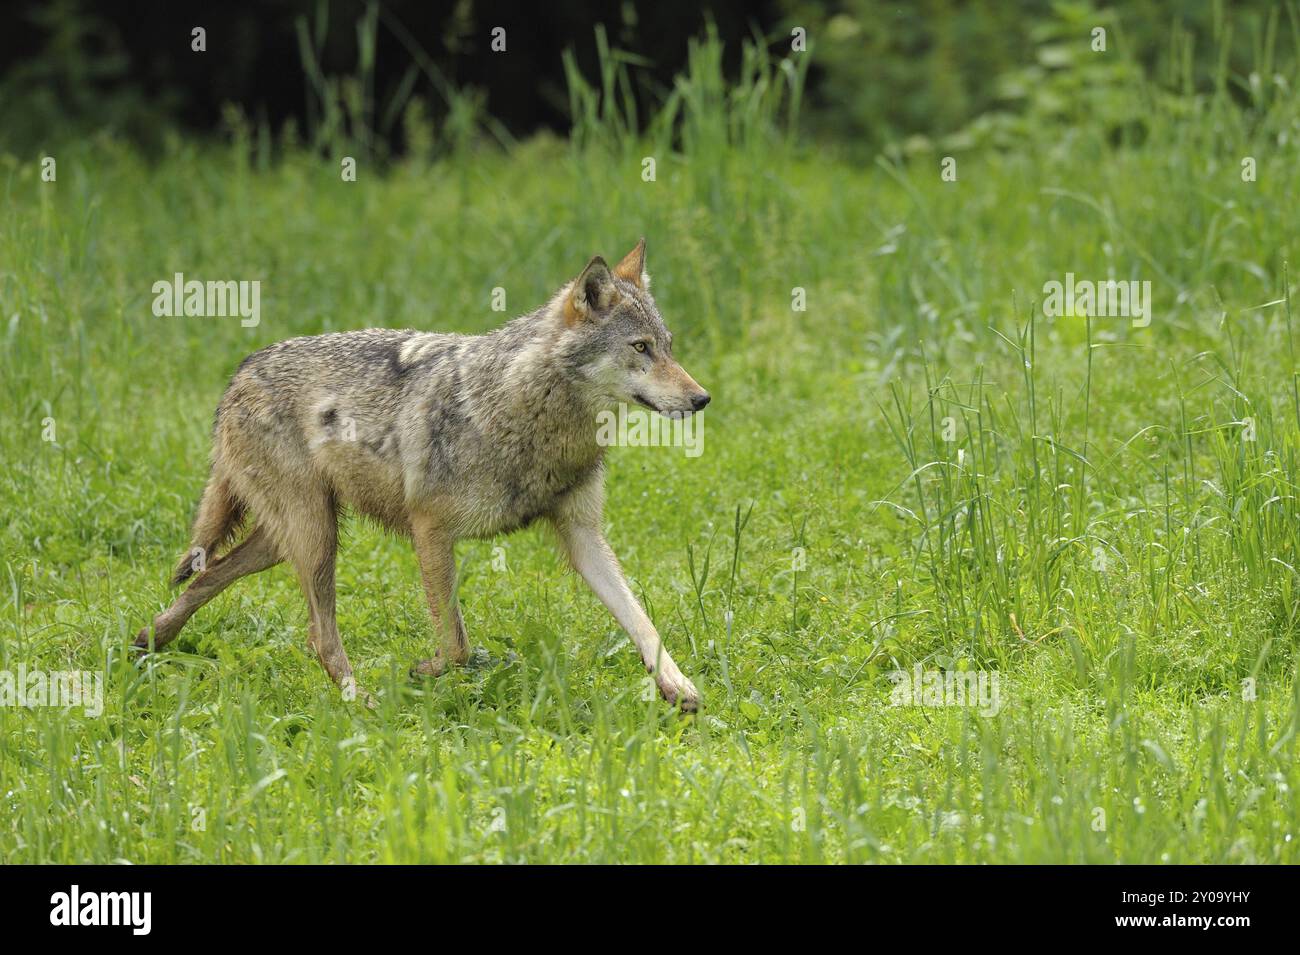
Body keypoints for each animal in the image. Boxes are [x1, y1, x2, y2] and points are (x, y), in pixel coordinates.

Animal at [135, 239, 708, 710]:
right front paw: (422, 671)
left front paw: (678, 686)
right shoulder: (429, 529)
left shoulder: (582, 534)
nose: (702, 399)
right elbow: (456, 644)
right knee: (317, 635)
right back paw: (363, 703)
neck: (528, 411)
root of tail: (242, 369)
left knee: (209, 573)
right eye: (640, 348)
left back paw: (148, 640)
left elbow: (642, 621)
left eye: (669, 345)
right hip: (315, 538)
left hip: (292, 538)